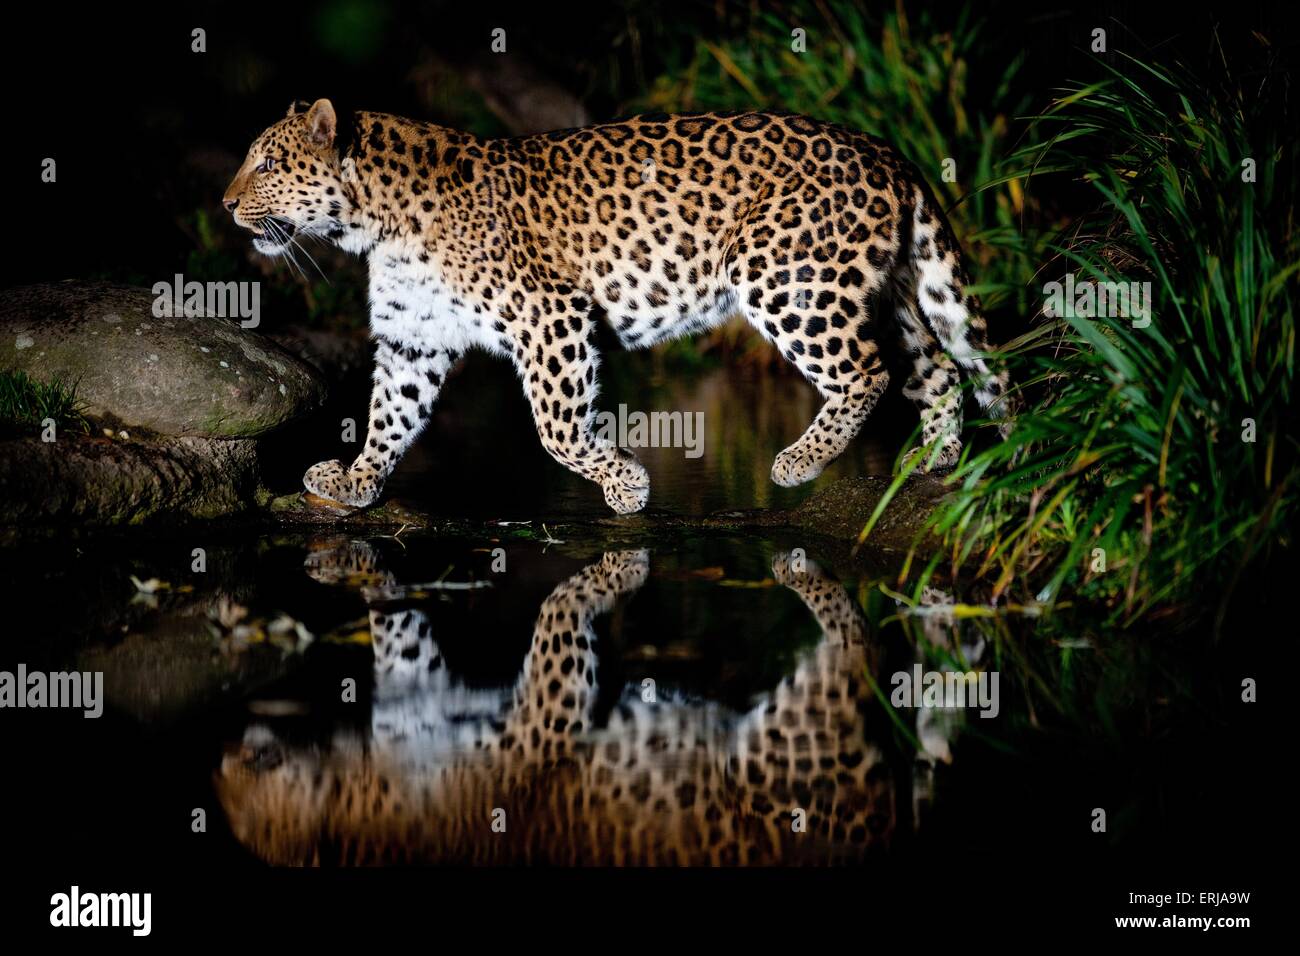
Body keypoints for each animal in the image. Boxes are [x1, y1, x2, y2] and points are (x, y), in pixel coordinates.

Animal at [215, 543, 899, 865]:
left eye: (251, 800)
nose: (227, 752)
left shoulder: (529, 735)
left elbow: (557, 622)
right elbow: (397, 618)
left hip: (778, 753)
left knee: (852, 653)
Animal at [222, 98, 1014, 514]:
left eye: (268, 163)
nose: (227, 204)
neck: (373, 224)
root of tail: (886, 151)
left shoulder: (548, 315)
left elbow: (555, 429)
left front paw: (626, 482)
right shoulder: (414, 335)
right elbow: (391, 414)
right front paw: (356, 481)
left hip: (785, 274)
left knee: (867, 373)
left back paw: (798, 462)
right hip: (893, 291)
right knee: (940, 369)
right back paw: (936, 463)